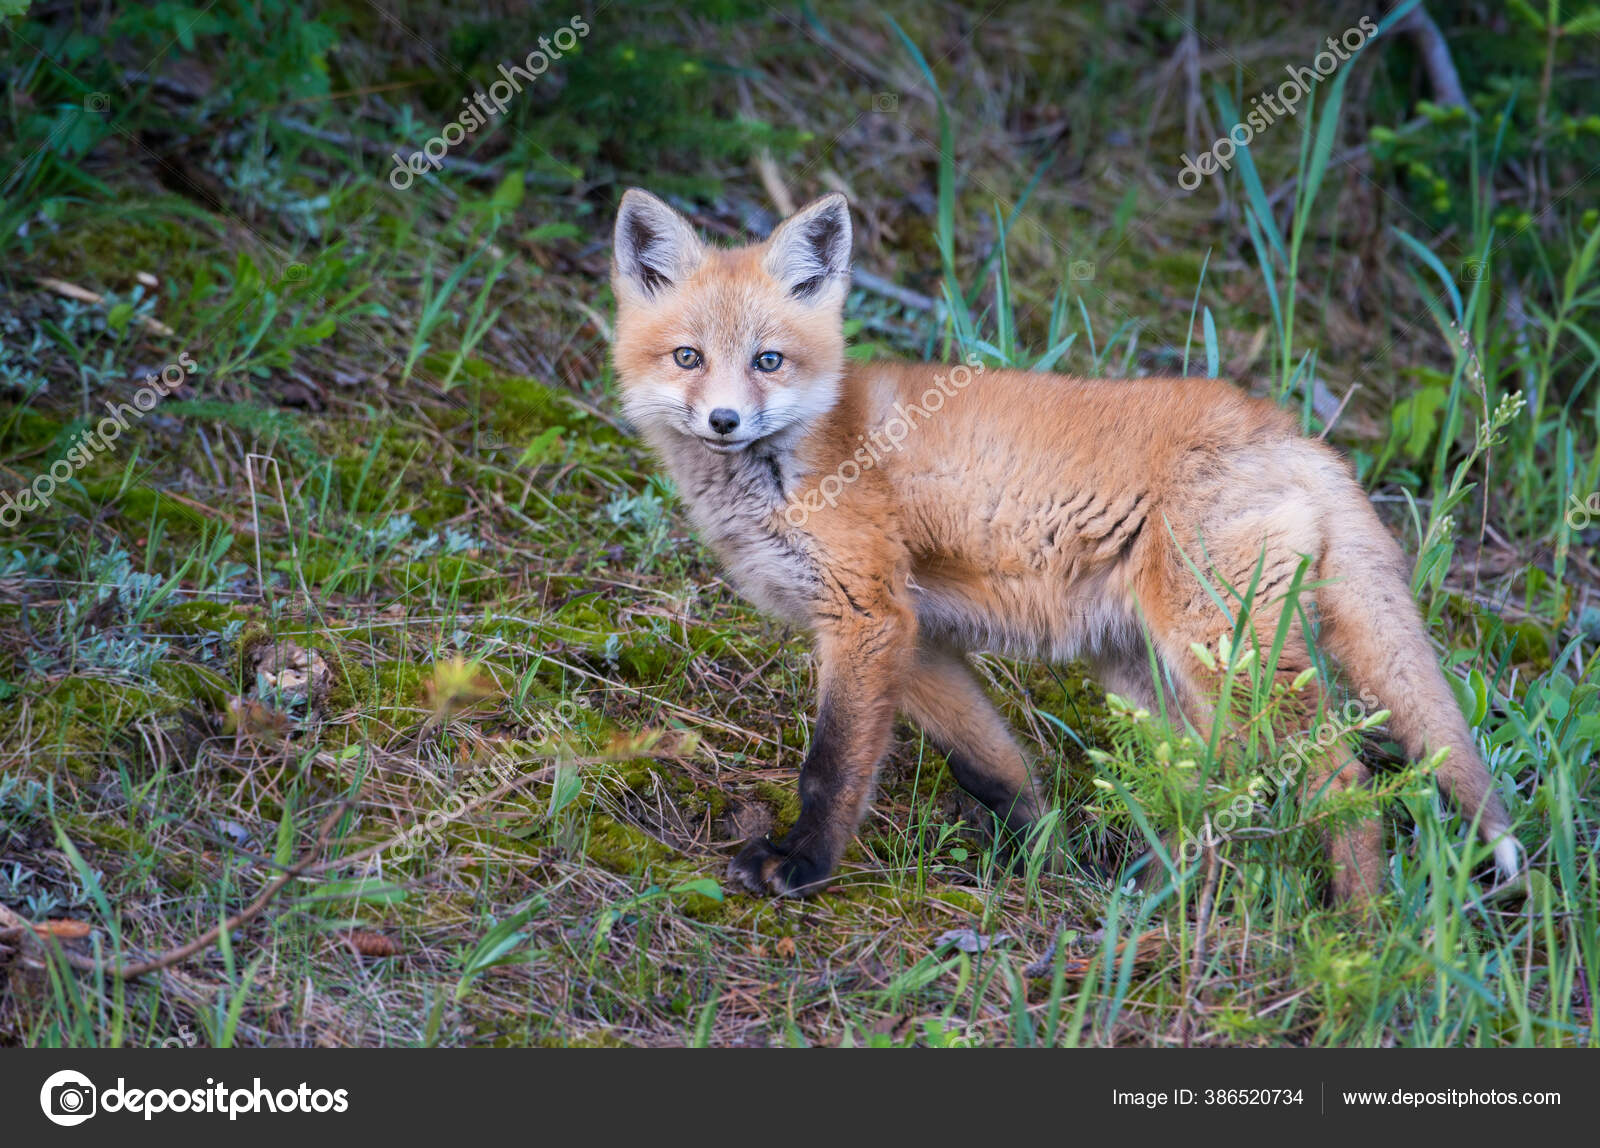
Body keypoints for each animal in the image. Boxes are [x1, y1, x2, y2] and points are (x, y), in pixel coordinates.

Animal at [608, 186, 1522, 905]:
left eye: (769, 361)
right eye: (688, 357)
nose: (725, 420)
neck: (798, 462)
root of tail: (1292, 433)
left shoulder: (868, 619)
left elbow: (831, 767)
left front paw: (801, 865)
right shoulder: (919, 640)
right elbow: (995, 766)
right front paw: (1042, 853)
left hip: (1221, 656)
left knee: (1343, 778)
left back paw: (1354, 930)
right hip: (1148, 672)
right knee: (1207, 778)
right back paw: (1160, 890)